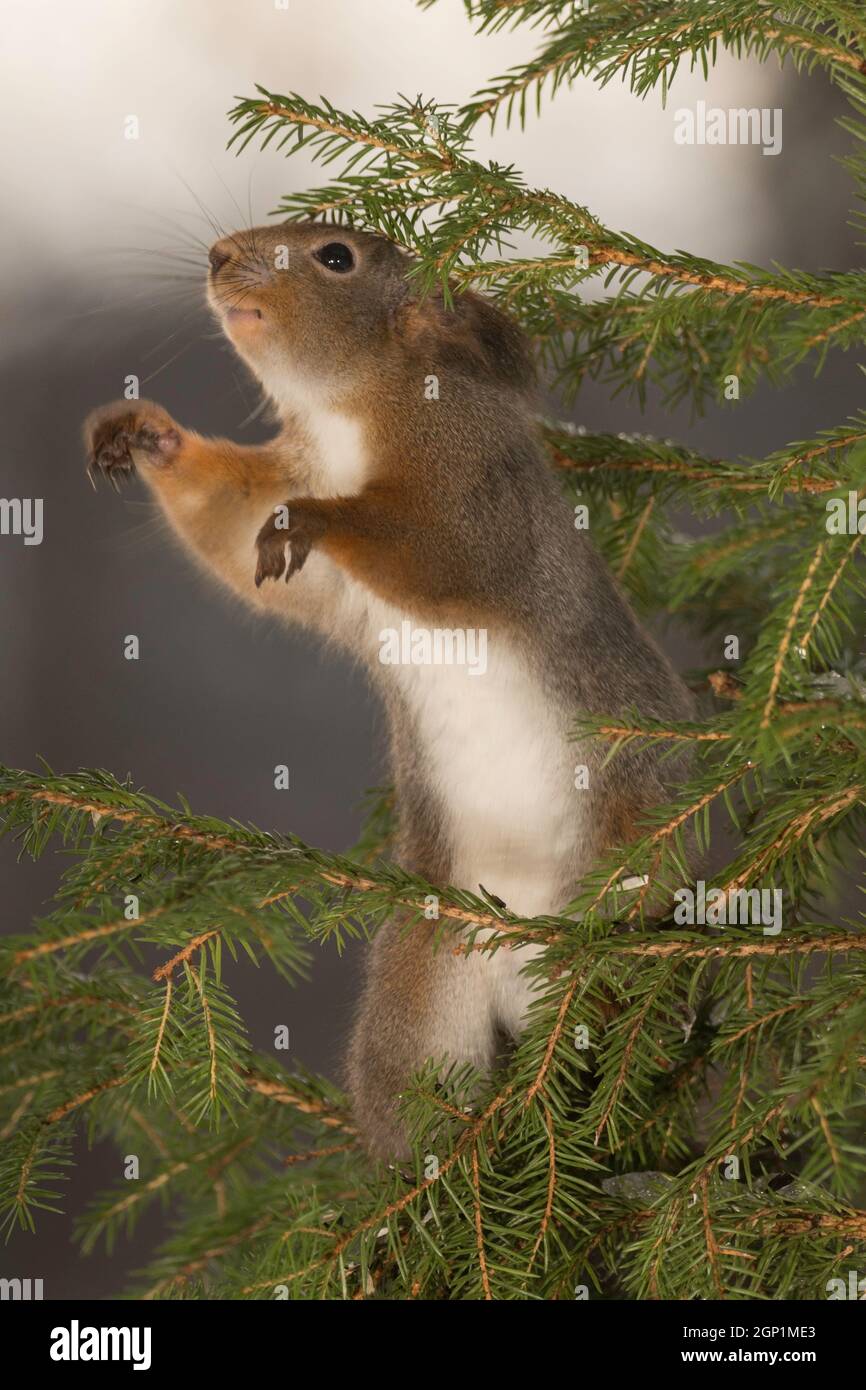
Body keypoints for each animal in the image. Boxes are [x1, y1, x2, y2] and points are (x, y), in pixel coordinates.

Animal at [83, 221, 696, 1158]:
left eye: (335, 257)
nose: (219, 255)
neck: (346, 419)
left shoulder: (469, 477)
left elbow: (442, 553)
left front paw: (316, 518)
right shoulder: (301, 527)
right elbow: (233, 525)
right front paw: (144, 432)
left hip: (626, 877)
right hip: (426, 984)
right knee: (422, 1096)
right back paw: (434, 1173)